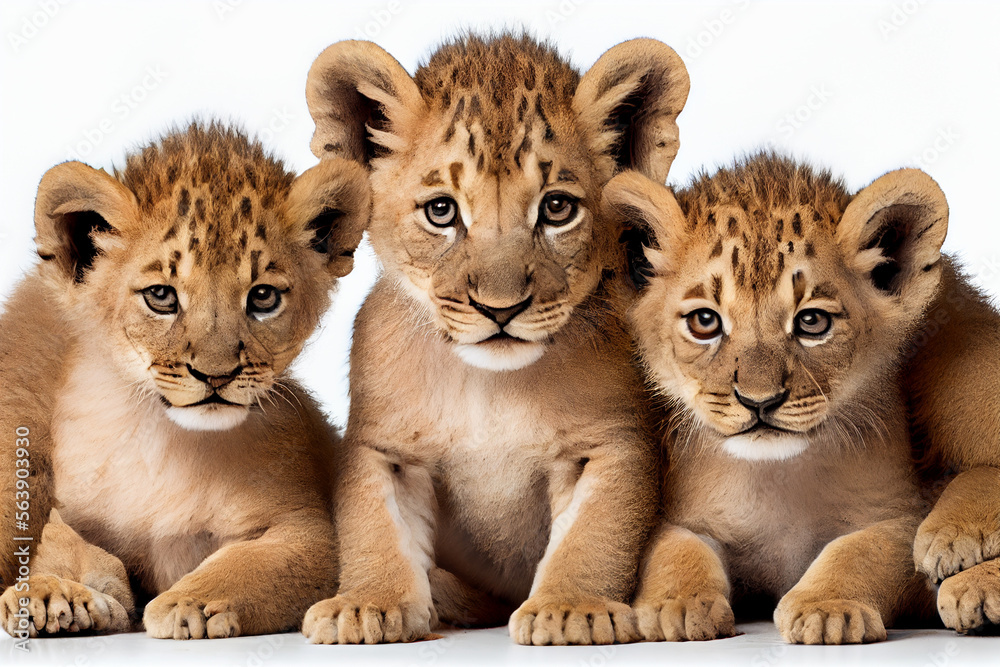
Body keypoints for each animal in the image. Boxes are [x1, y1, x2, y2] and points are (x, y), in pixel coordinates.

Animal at [0, 122, 369, 639]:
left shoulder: (311, 528)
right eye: (161, 296)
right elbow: (66, 544)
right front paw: (52, 593)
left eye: (263, 297)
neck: (164, 443)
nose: (216, 375)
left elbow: (250, 563)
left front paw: (191, 602)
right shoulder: (62, 508)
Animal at [298, 34, 689, 645]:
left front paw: (570, 608)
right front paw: (366, 604)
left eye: (557, 207)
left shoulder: (609, 444)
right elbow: (375, 528)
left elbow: (592, 536)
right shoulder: (386, 448)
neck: (489, 387)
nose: (500, 309)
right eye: (441, 211)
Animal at [602, 153, 947, 644]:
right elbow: (676, 548)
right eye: (705, 321)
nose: (759, 401)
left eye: (812, 322)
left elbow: (862, 551)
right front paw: (679, 606)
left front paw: (828, 608)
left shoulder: (902, 516)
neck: (776, 475)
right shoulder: (679, 517)